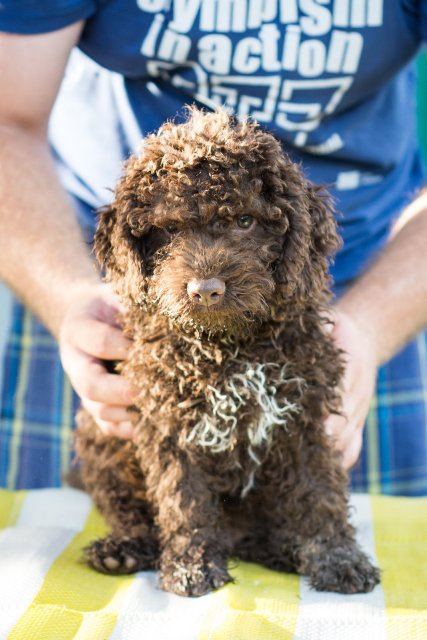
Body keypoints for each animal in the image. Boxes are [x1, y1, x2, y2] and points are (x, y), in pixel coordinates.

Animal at [74, 107, 382, 596]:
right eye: (168, 230)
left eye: (244, 222)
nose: (205, 290)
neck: (230, 347)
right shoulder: (167, 421)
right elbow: (182, 498)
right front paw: (192, 566)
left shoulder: (304, 413)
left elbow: (320, 492)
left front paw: (338, 558)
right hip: (100, 435)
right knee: (126, 507)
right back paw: (123, 548)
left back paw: (282, 549)